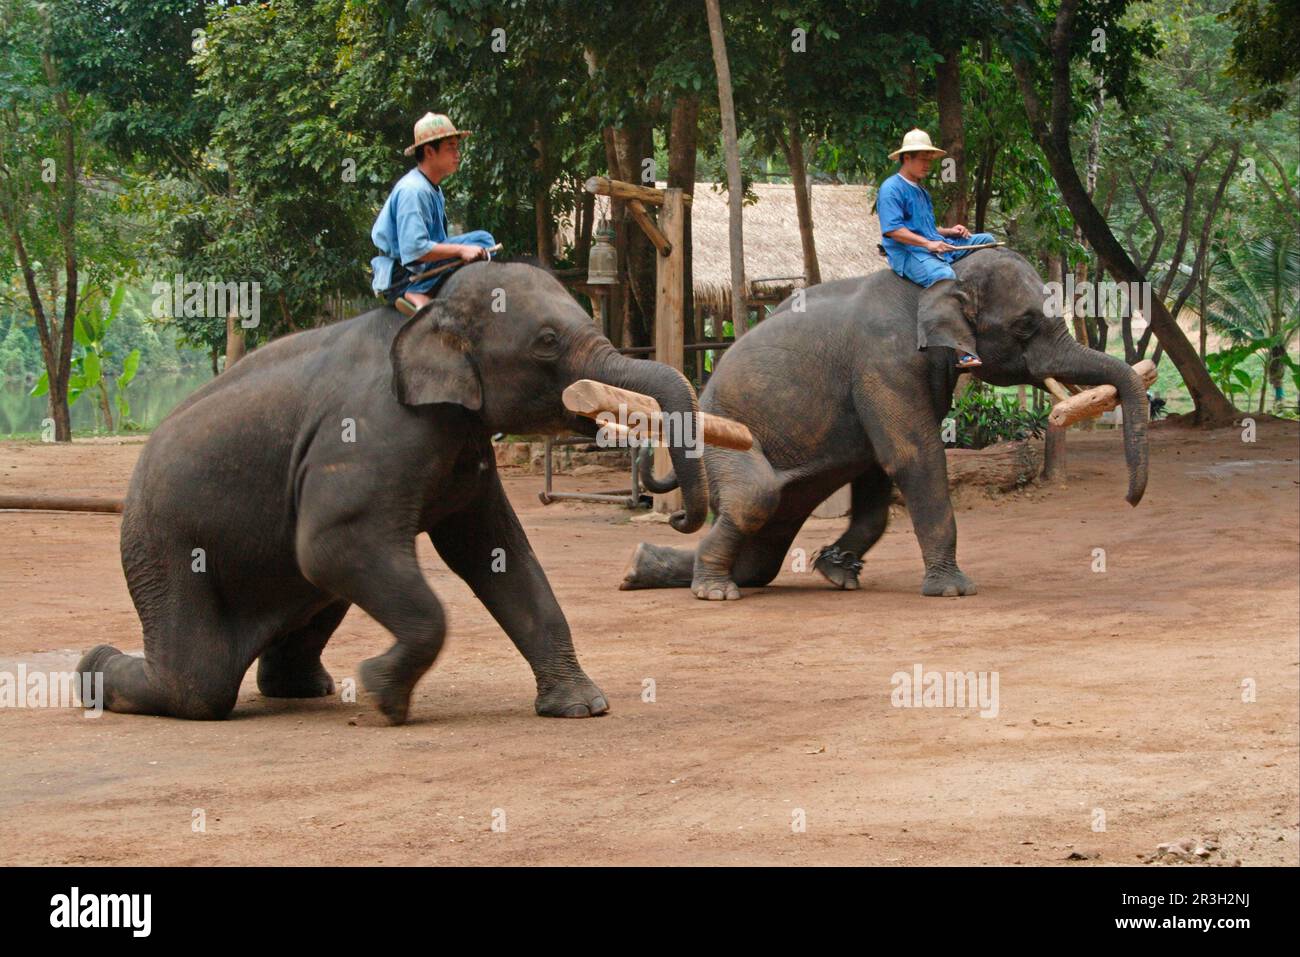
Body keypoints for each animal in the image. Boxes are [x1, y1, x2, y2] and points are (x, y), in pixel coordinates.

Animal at [76, 262, 708, 724]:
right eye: (547, 341)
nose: (677, 518)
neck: (431, 315)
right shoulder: (373, 431)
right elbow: (334, 542)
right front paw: (383, 696)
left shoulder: (463, 445)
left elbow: (497, 552)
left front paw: (581, 707)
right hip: (164, 547)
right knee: (198, 681)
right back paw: (90, 668)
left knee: (311, 595)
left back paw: (303, 688)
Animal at [621, 247, 1149, 600]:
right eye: (1025, 325)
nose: (1129, 499)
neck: (940, 277)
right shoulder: (885, 363)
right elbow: (913, 456)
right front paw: (953, 590)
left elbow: (877, 475)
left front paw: (836, 571)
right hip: (722, 434)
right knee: (754, 501)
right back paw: (712, 590)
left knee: (761, 556)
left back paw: (639, 566)